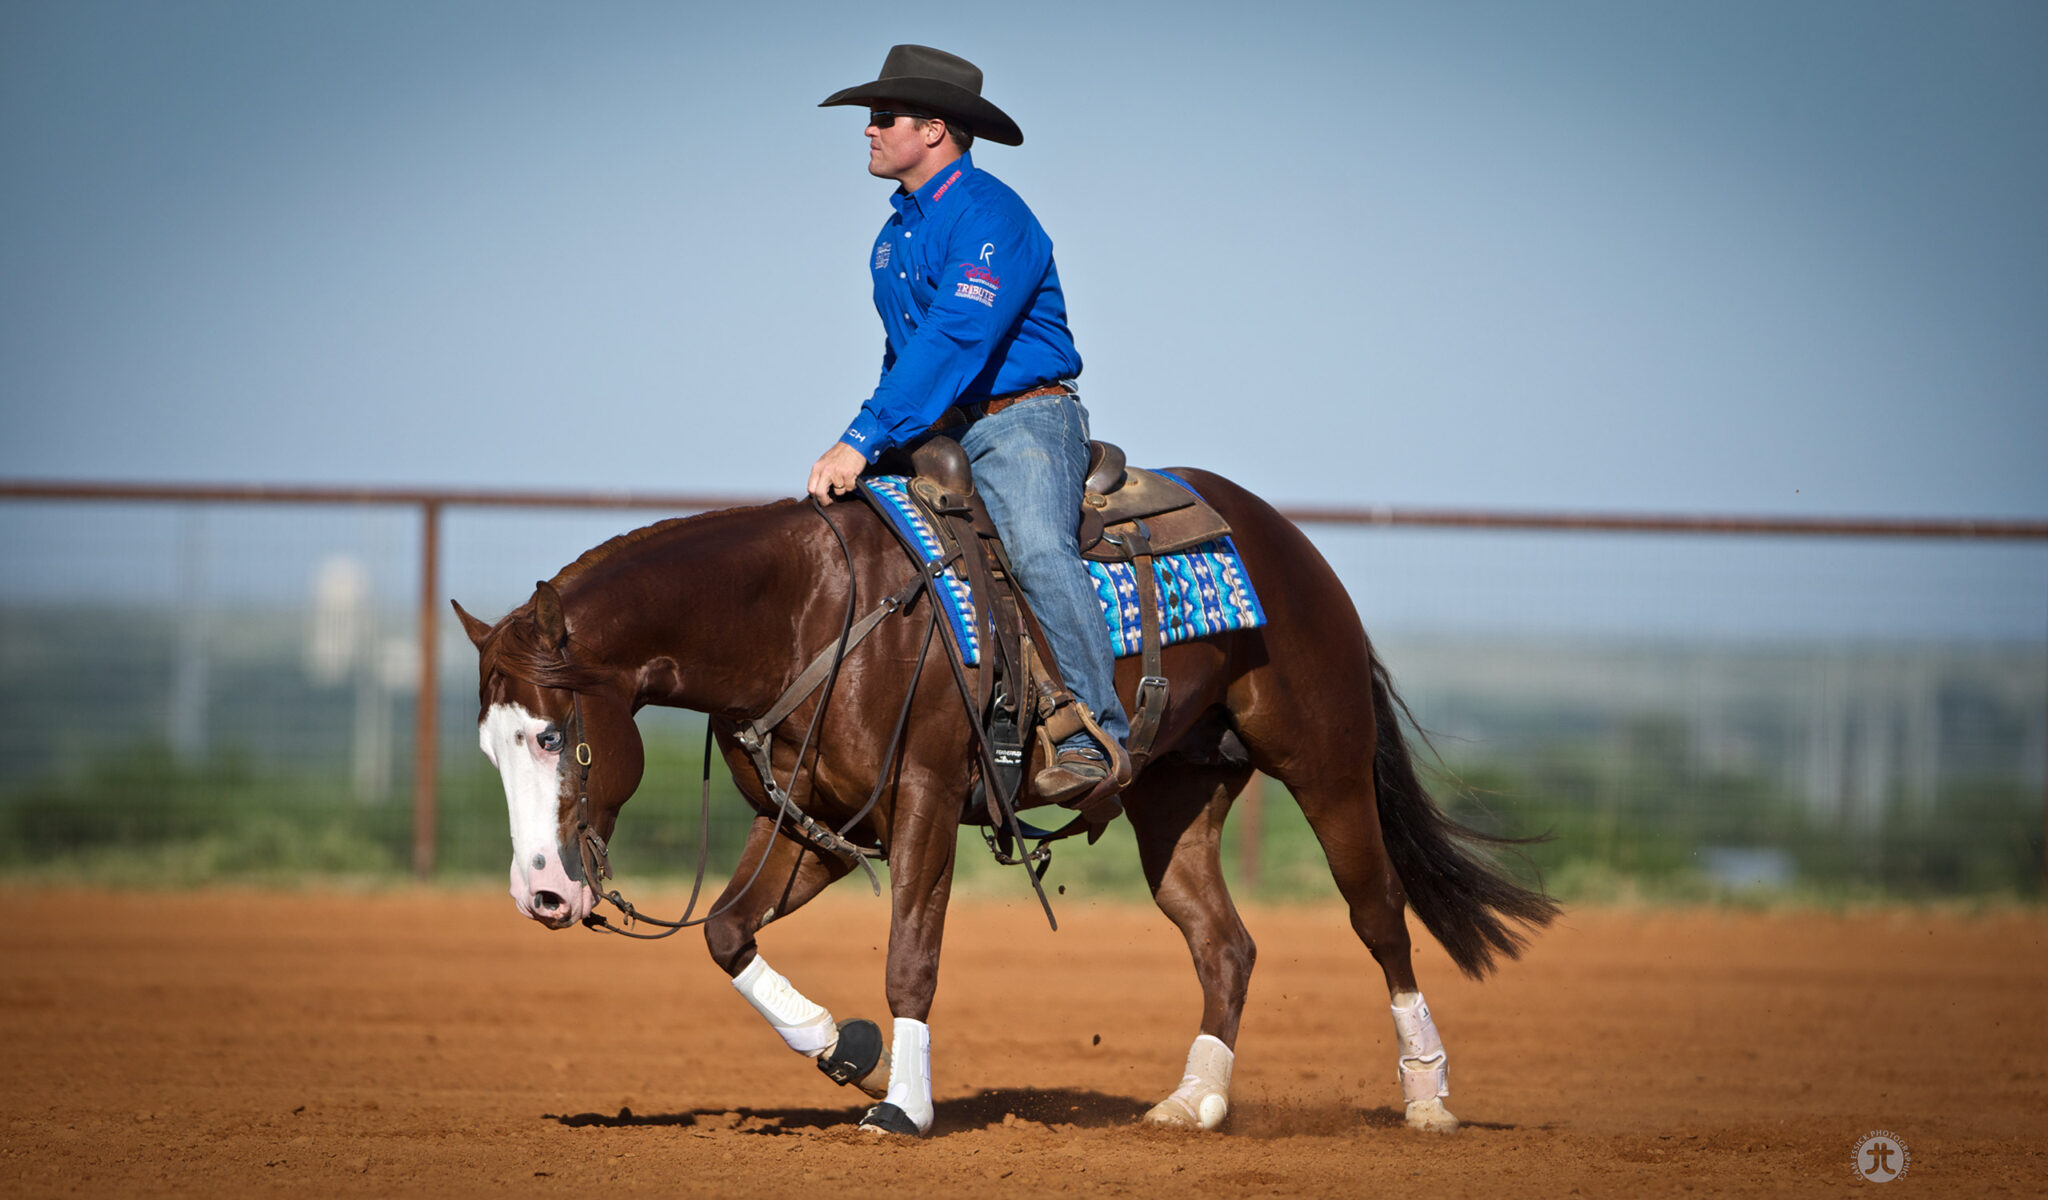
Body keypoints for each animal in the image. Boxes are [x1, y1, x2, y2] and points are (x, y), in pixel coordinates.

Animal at [452, 466, 1558, 1138]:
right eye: (490, 745)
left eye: (551, 735)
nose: (542, 892)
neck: (813, 610)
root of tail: (1287, 541)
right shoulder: (810, 825)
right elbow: (726, 932)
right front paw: (844, 1049)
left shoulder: (926, 797)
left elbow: (911, 954)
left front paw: (901, 1104)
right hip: (1177, 797)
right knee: (1224, 944)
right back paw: (1193, 1102)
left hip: (1324, 765)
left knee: (1378, 915)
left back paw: (1427, 1098)